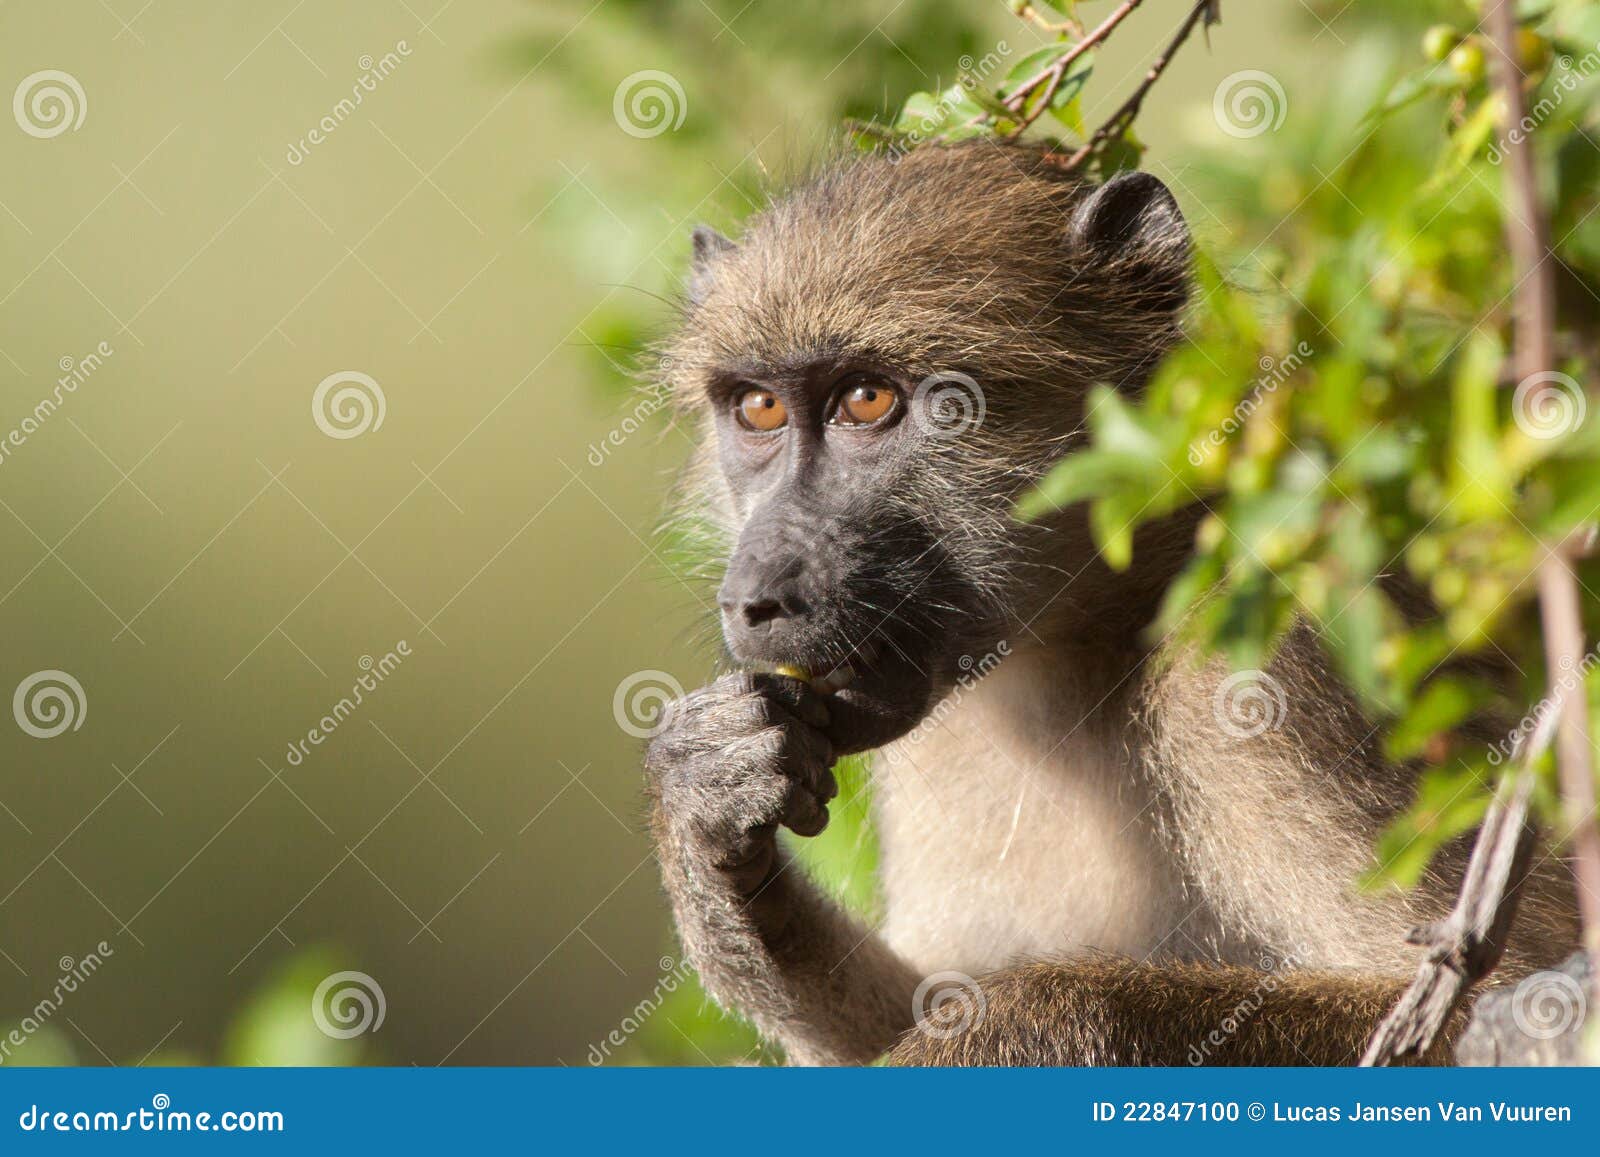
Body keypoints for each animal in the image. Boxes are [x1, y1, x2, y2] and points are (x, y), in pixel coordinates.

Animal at [640, 141, 1581, 1066]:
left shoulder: (1267, 672)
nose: (756, 597)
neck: (1097, 630)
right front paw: (707, 806)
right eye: (759, 408)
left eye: (867, 400)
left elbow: (1497, 1001)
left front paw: (1003, 1026)